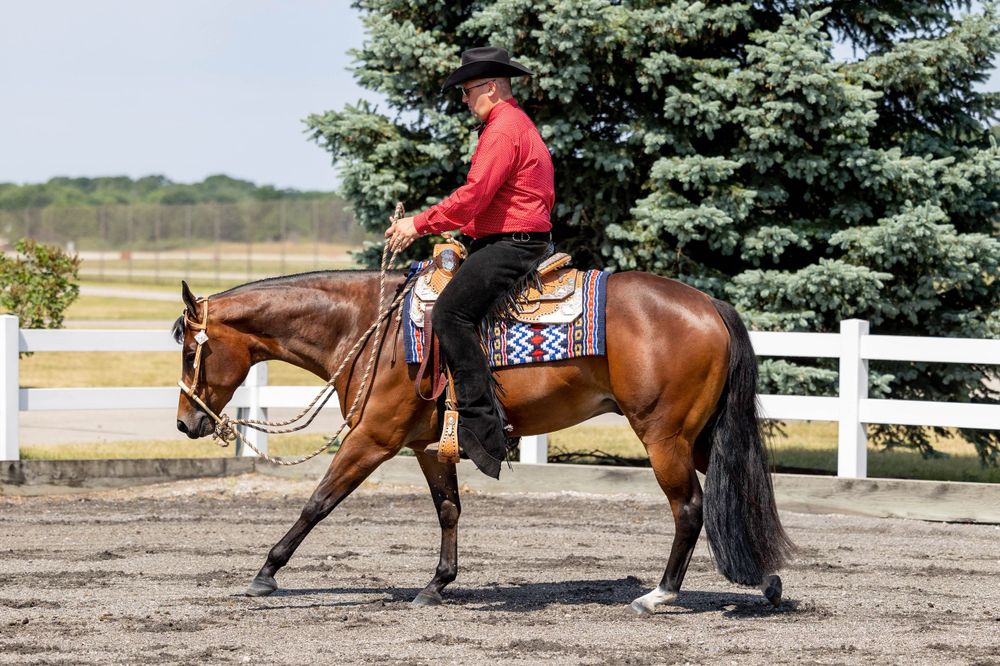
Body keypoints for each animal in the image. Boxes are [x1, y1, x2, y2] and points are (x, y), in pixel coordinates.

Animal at [173, 268, 793, 615]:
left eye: (189, 351)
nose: (185, 424)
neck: (369, 328)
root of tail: (710, 305)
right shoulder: (425, 446)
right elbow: (449, 508)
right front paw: (437, 584)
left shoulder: (373, 438)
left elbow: (318, 503)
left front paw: (266, 573)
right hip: (700, 434)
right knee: (741, 492)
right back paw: (766, 579)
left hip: (664, 434)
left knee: (689, 508)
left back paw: (661, 594)